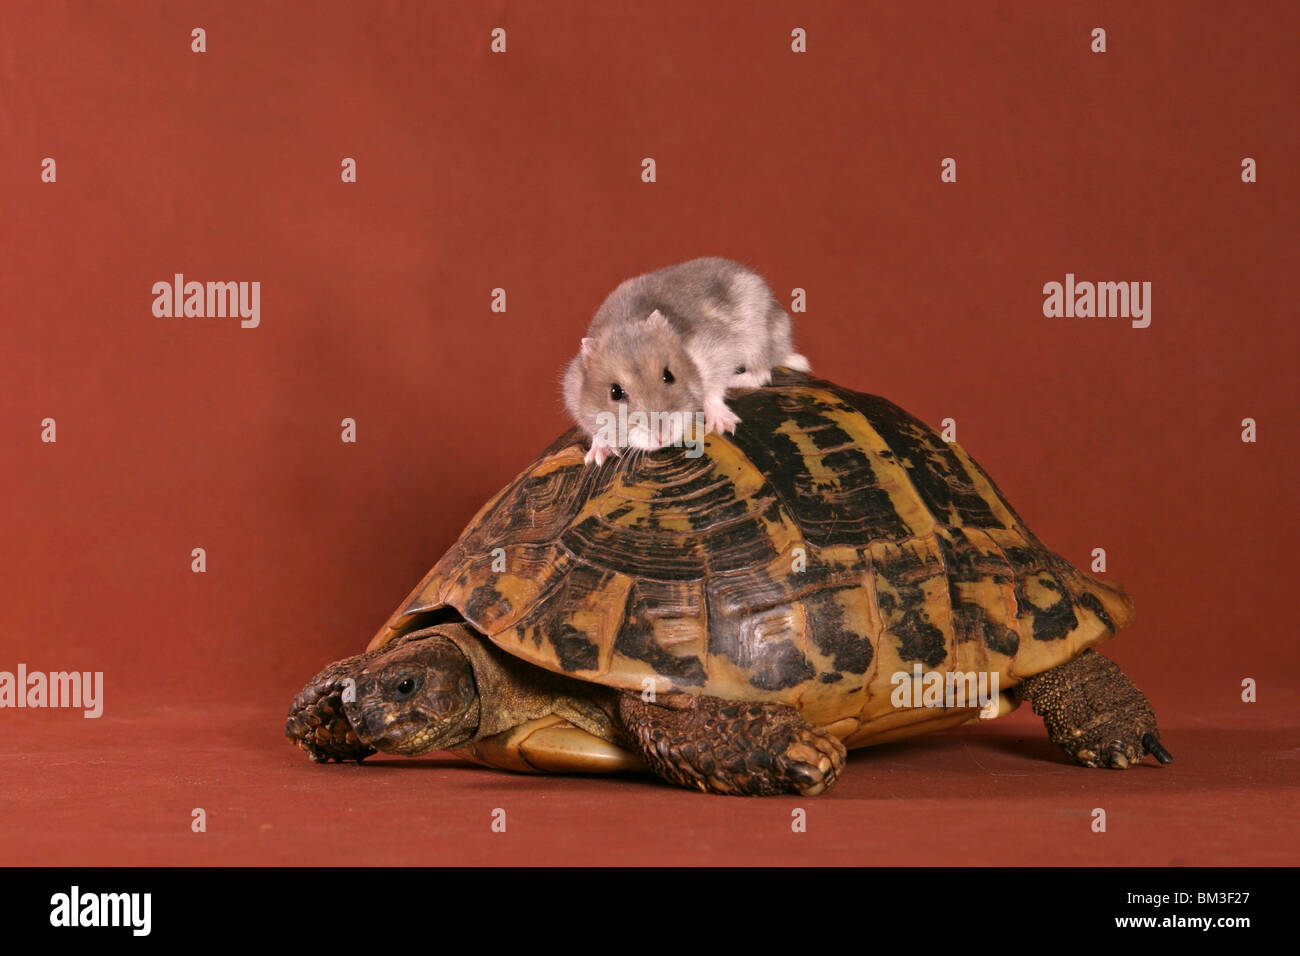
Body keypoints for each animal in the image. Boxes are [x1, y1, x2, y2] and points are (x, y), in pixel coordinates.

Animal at [563, 257, 810, 465]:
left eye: (669, 376)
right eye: (615, 393)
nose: (663, 437)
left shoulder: (717, 352)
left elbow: (712, 391)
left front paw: (724, 425)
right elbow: (593, 427)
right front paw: (595, 458)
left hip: (756, 342)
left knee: (761, 373)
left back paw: (734, 382)